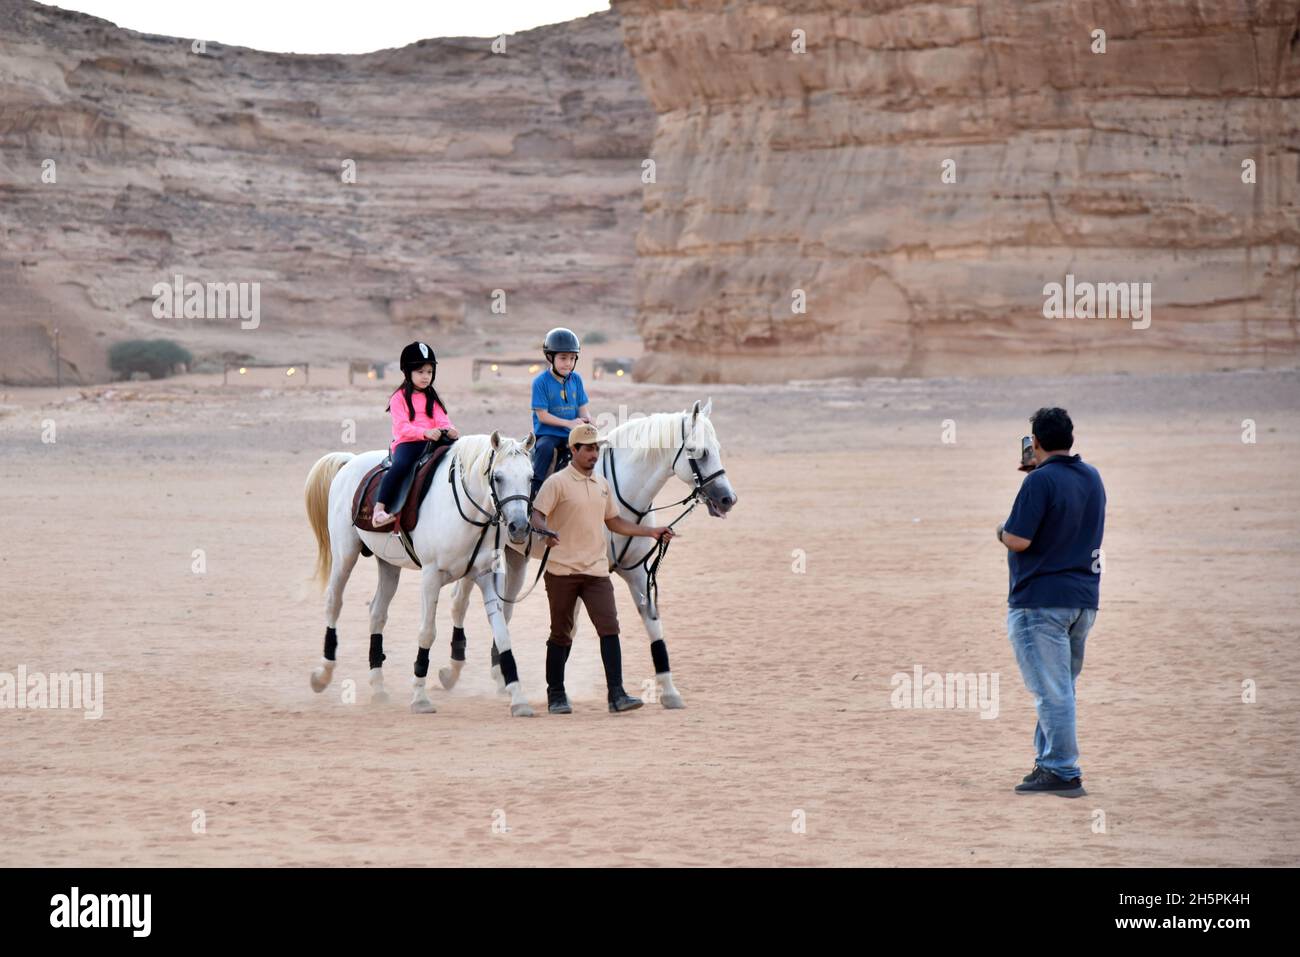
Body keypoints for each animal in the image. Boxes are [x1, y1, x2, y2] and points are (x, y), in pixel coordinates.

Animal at [303, 431, 539, 716]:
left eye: (530, 477)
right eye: (498, 477)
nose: (519, 527)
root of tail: (350, 462)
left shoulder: (487, 576)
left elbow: (502, 633)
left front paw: (518, 698)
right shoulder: (431, 576)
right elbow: (427, 632)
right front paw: (419, 697)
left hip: (388, 565)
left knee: (377, 613)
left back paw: (378, 687)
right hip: (344, 556)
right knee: (333, 603)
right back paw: (322, 675)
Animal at [439, 399, 738, 708]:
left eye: (716, 448)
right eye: (700, 452)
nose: (728, 499)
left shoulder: (636, 572)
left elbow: (652, 625)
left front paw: (669, 692)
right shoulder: (583, 571)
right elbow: (569, 627)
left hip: (515, 559)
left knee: (504, 610)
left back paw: (499, 674)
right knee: (459, 603)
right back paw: (451, 672)